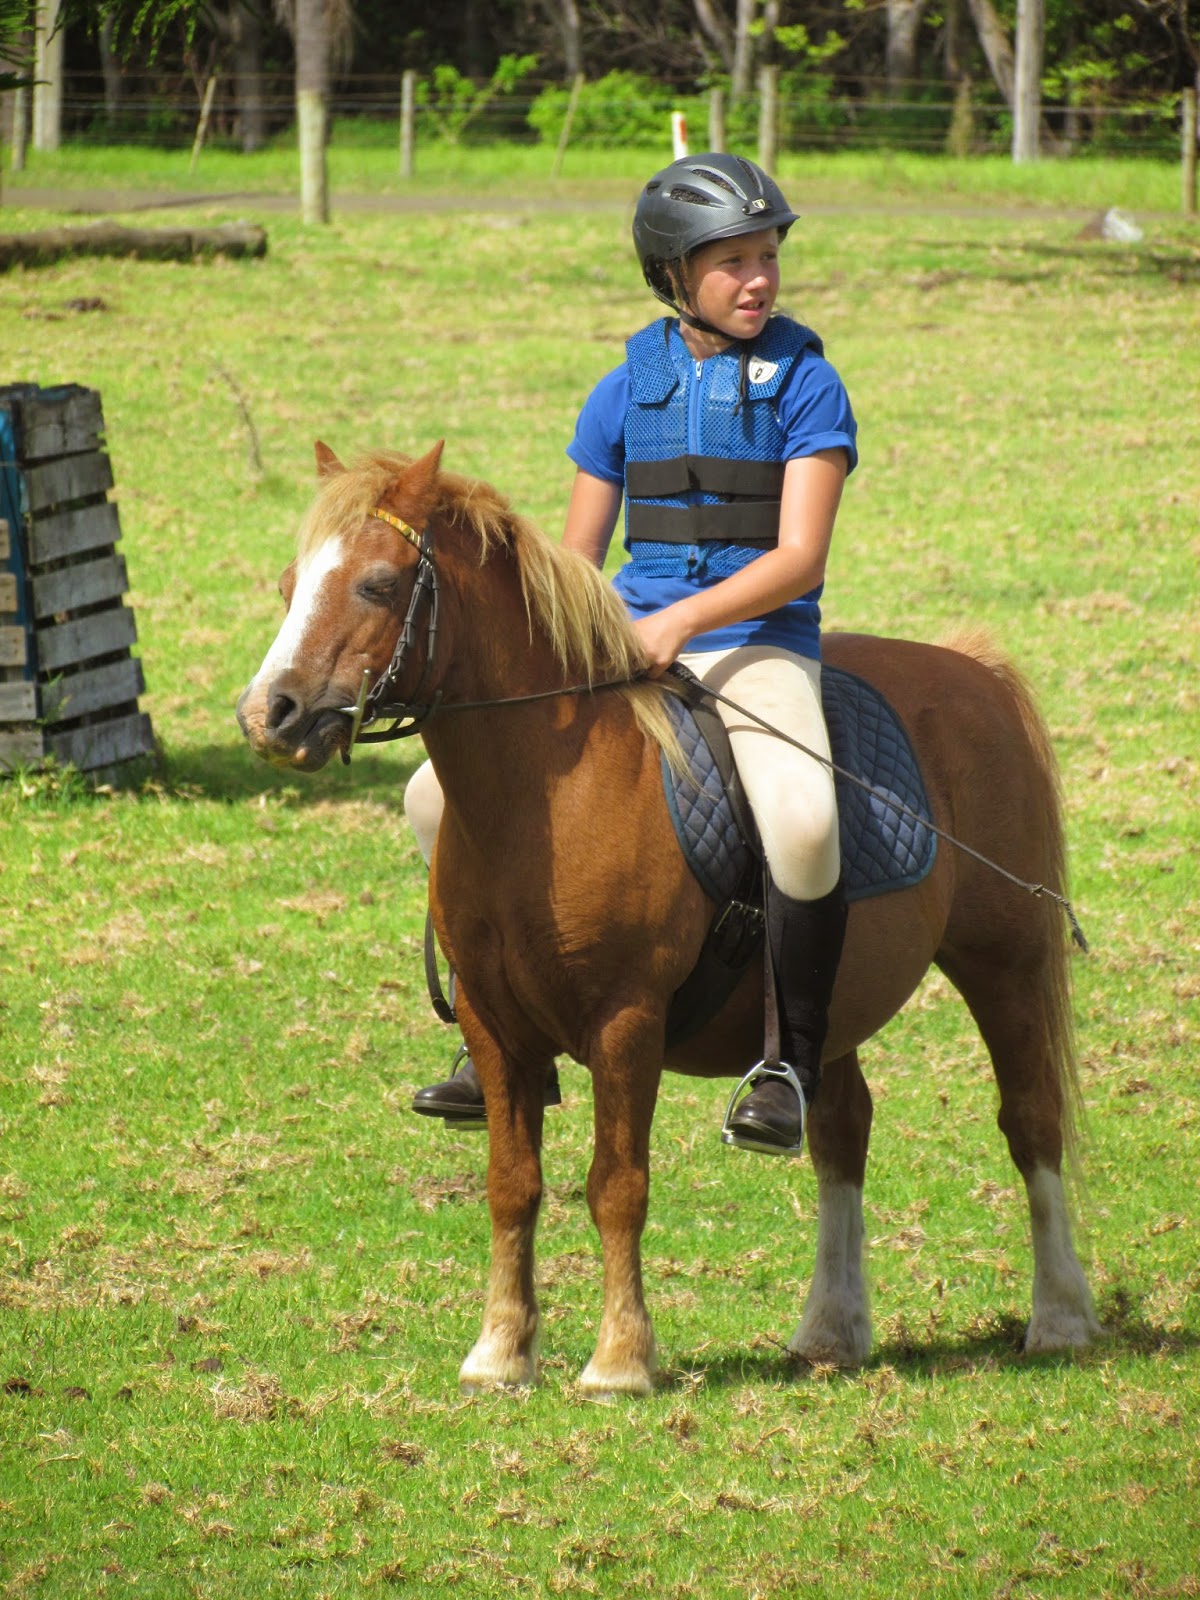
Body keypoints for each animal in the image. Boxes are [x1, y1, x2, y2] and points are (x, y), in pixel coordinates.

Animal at [236, 441, 1100, 1395]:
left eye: (379, 585)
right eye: (290, 584)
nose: (269, 715)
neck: (545, 795)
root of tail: (971, 668)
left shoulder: (626, 1020)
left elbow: (616, 1183)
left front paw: (620, 1358)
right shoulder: (494, 1027)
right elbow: (512, 1182)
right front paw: (500, 1351)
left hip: (1004, 961)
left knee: (1031, 1121)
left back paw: (1060, 1317)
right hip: (836, 1004)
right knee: (841, 1129)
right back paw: (831, 1329)